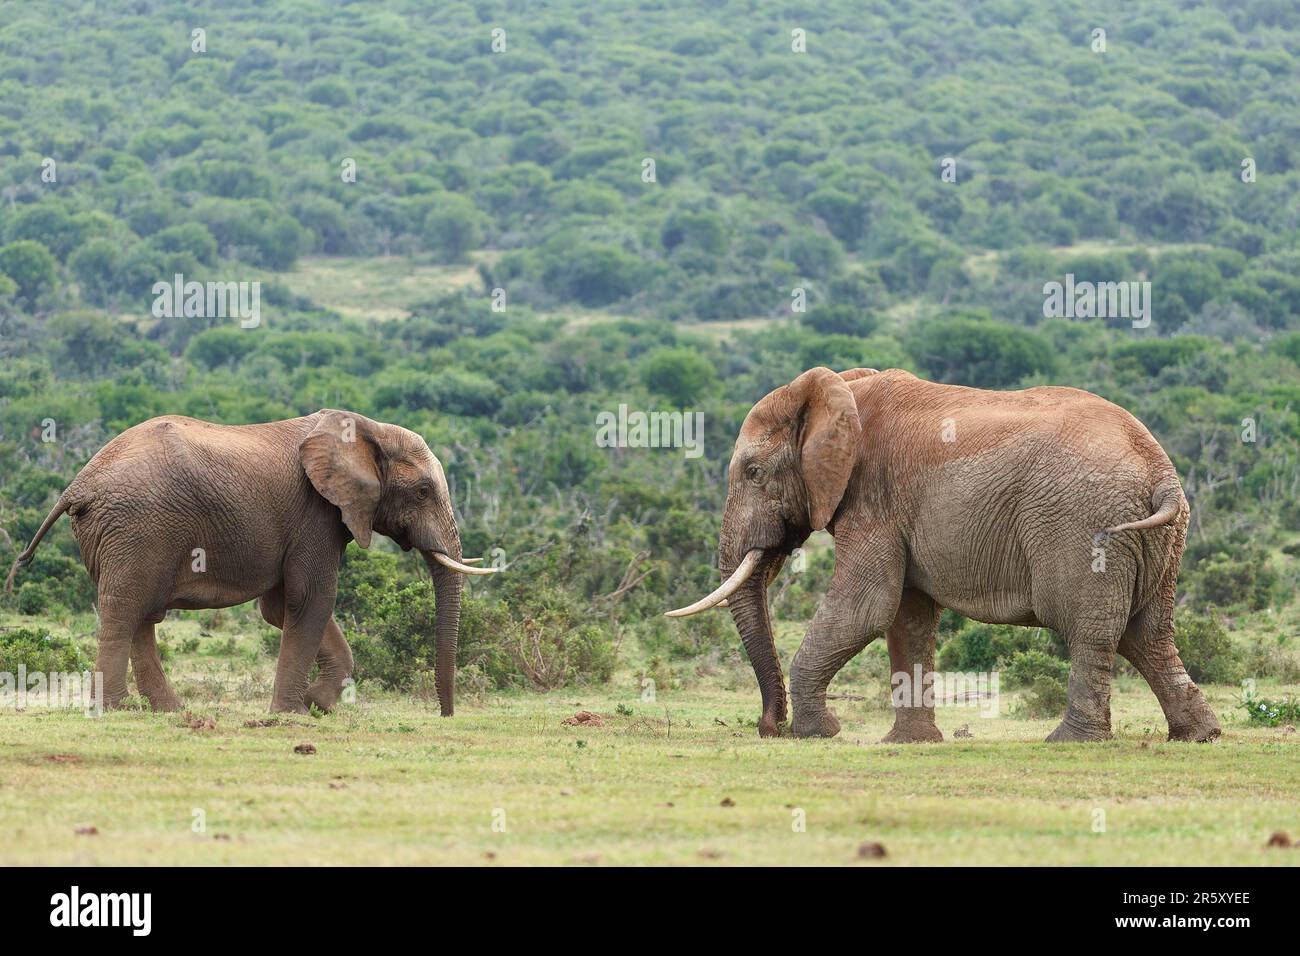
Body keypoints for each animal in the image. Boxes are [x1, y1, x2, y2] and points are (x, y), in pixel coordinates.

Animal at [6, 410, 495, 714]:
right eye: (423, 492)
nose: (446, 716)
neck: (364, 429)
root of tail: (78, 484)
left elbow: (280, 608)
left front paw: (317, 704)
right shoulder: (315, 512)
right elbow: (311, 599)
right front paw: (295, 713)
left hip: (118, 533)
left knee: (141, 614)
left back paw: (167, 710)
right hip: (136, 527)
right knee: (125, 608)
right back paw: (116, 709)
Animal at [668, 366, 1221, 745]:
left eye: (754, 472)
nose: (768, 728)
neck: (845, 392)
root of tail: (1161, 472)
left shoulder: (875, 498)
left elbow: (866, 607)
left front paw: (818, 733)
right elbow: (906, 617)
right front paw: (908, 743)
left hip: (1085, 527)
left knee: (1092, 630)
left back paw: (1070, 741)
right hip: (1162, 540)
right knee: (1148, 634)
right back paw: (1198, 735)